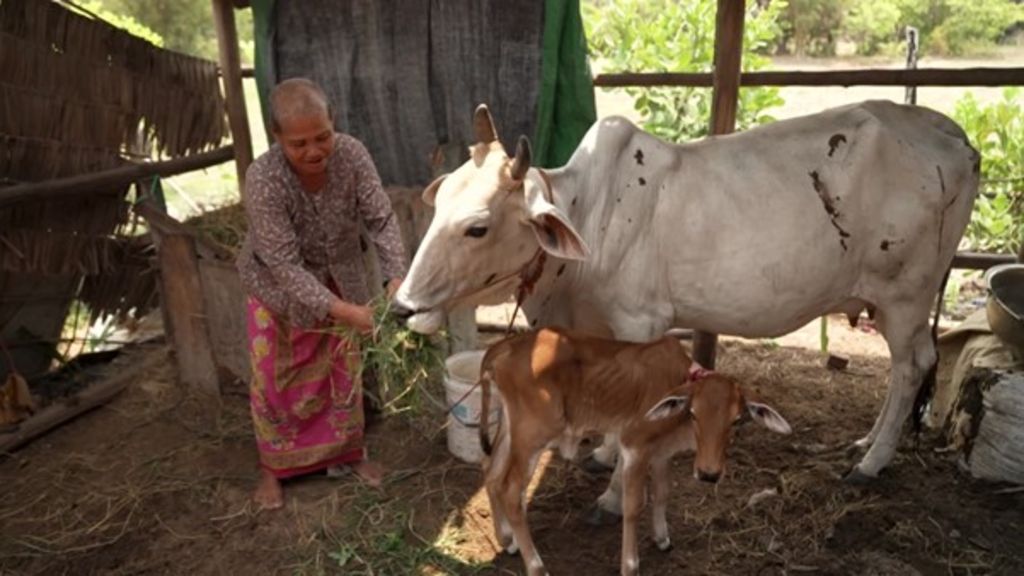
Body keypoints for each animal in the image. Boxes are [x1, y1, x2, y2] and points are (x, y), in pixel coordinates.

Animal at [393, 101, 979, 490]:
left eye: (478, 228)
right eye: (437, 203)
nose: (403, 306)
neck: (590, 210)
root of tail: (954, 135)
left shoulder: (640, 321)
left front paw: (610, 462)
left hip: (904, 294)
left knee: (911, 366)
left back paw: (871, 462)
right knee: (903, 371)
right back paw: (866, 442)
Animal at [477, 327, 792, 576]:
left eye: (736, 420)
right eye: (694, 413)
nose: (709, 474)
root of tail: (503, 347)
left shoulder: (662, 452)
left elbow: (662, 493)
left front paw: (662, 538)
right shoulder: (634, 446)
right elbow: (633, 506)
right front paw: (630, 565)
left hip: (510, 428)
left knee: (491, 473)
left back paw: (506, 540)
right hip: (533, 435)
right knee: (510, 490)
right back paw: (536, 565)